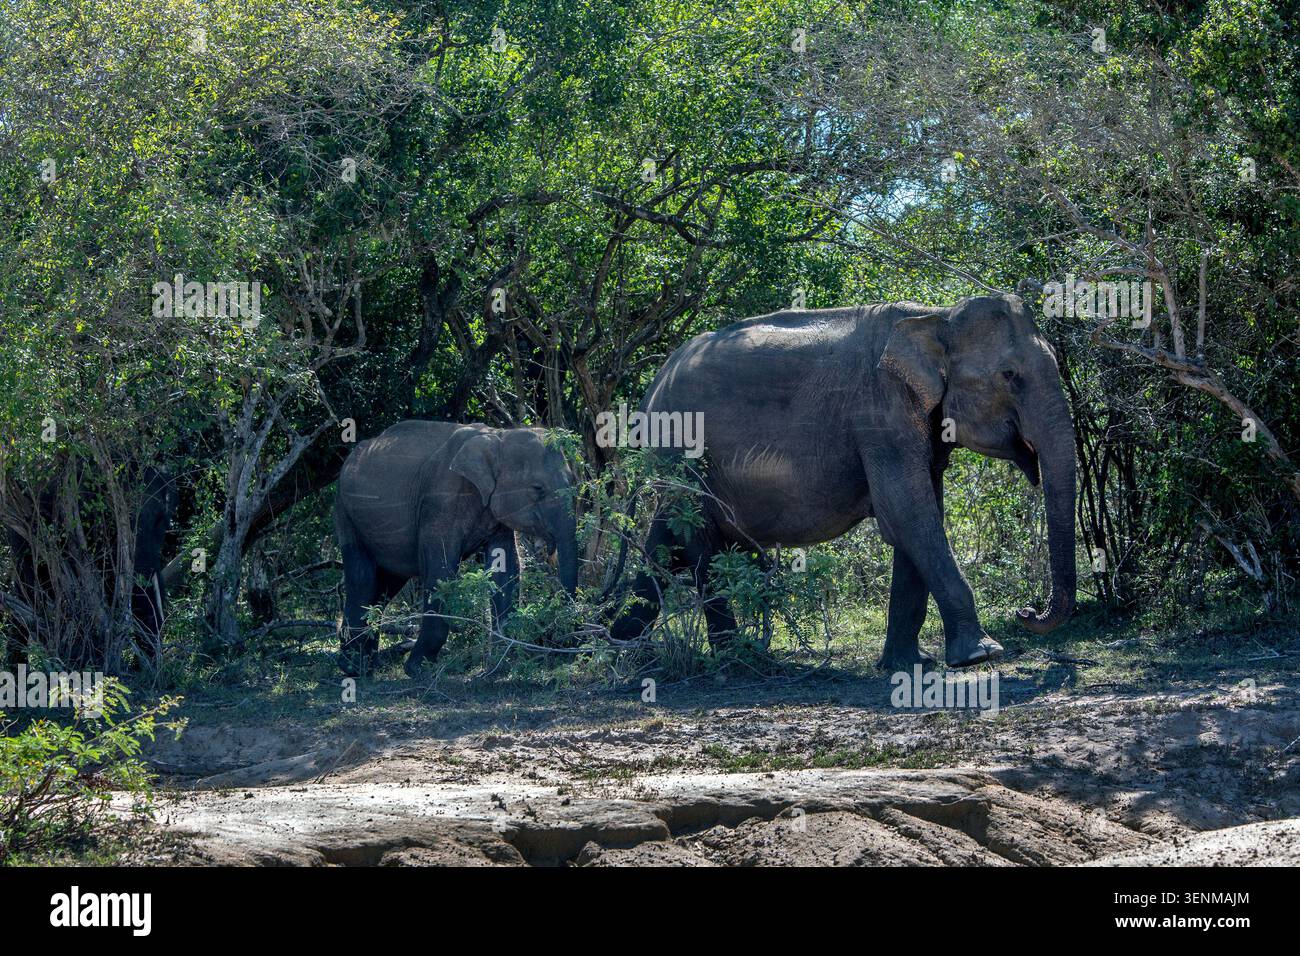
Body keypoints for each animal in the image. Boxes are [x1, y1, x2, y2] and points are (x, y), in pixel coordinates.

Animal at [335, 420, 579, 677]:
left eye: (573, 481)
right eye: (537, 487)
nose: (563, 644)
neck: (498, 436)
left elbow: (505, 569)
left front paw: (502, 664)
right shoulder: (440, 499)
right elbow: (440, 571)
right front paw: (418, 670)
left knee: (385, 587)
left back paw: (365, 665)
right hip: (345, 512)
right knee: (362, 580)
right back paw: (354, 667)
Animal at [609, 293, 1077, 669]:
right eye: (1009, 376)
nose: (1026, 612)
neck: (936, 317)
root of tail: (653, 386)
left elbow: (918, 516)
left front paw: (909, 665)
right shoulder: (879, 415)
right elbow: (908, 513)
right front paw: (981, 655)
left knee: (667, 542)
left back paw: (623, 647)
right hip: (682, 451)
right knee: (698, 545)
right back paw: (732, 657)